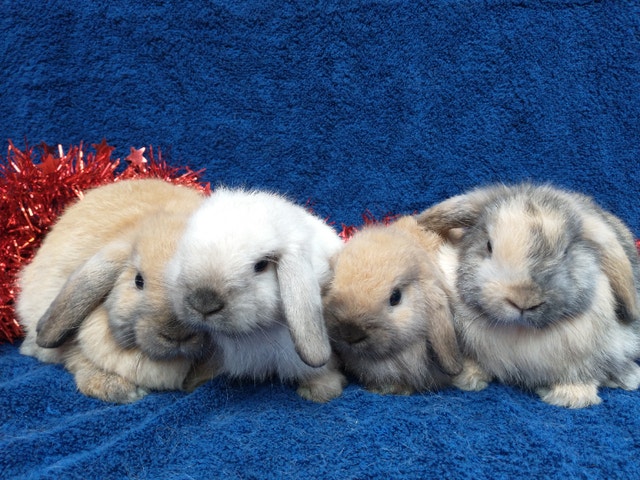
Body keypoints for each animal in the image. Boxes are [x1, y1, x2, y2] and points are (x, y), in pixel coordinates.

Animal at [166, 187, 348, 403]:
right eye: (184, 252)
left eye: (261, 265)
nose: (203, 303)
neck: (251, 335)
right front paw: (195, 381)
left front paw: (321, 391)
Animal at [417, 182, 640, 408]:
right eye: (488, 245)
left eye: (566, 252)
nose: (523, 300)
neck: (519, 331)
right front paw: (468, 378)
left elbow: (581, 374)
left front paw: (571, 397)